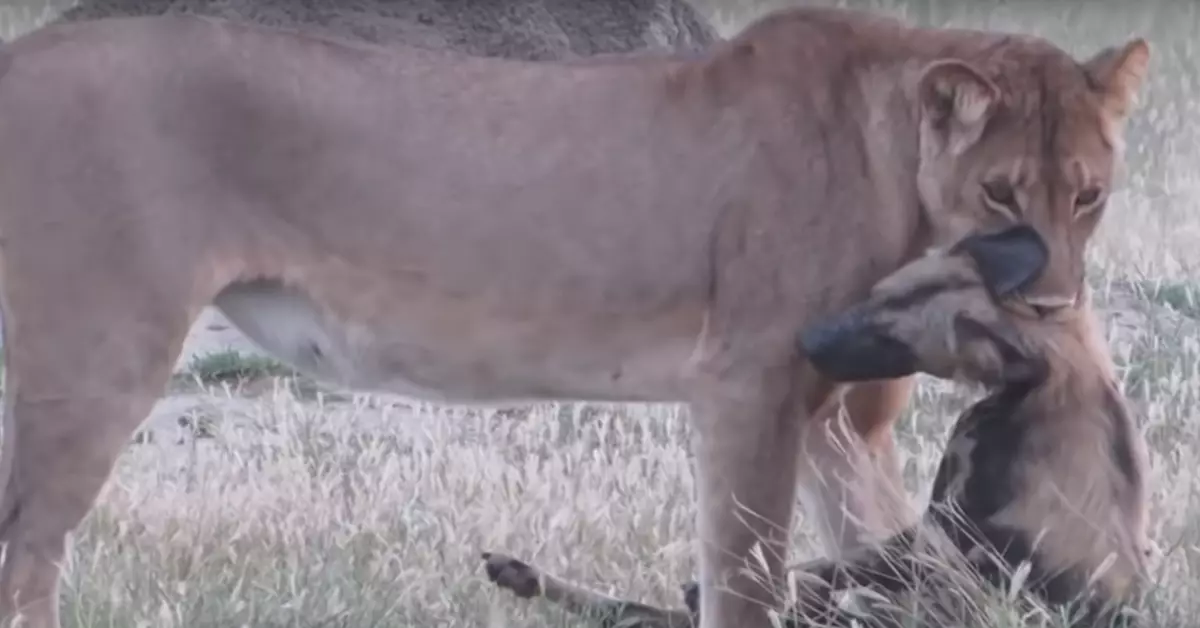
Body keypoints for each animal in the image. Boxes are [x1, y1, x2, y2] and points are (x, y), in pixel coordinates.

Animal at [482, 225, 1147, 628]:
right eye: (875, 295)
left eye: (891, 338)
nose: (805, 340)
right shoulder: (920, 539)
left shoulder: (938, 553)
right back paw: (521, 573)